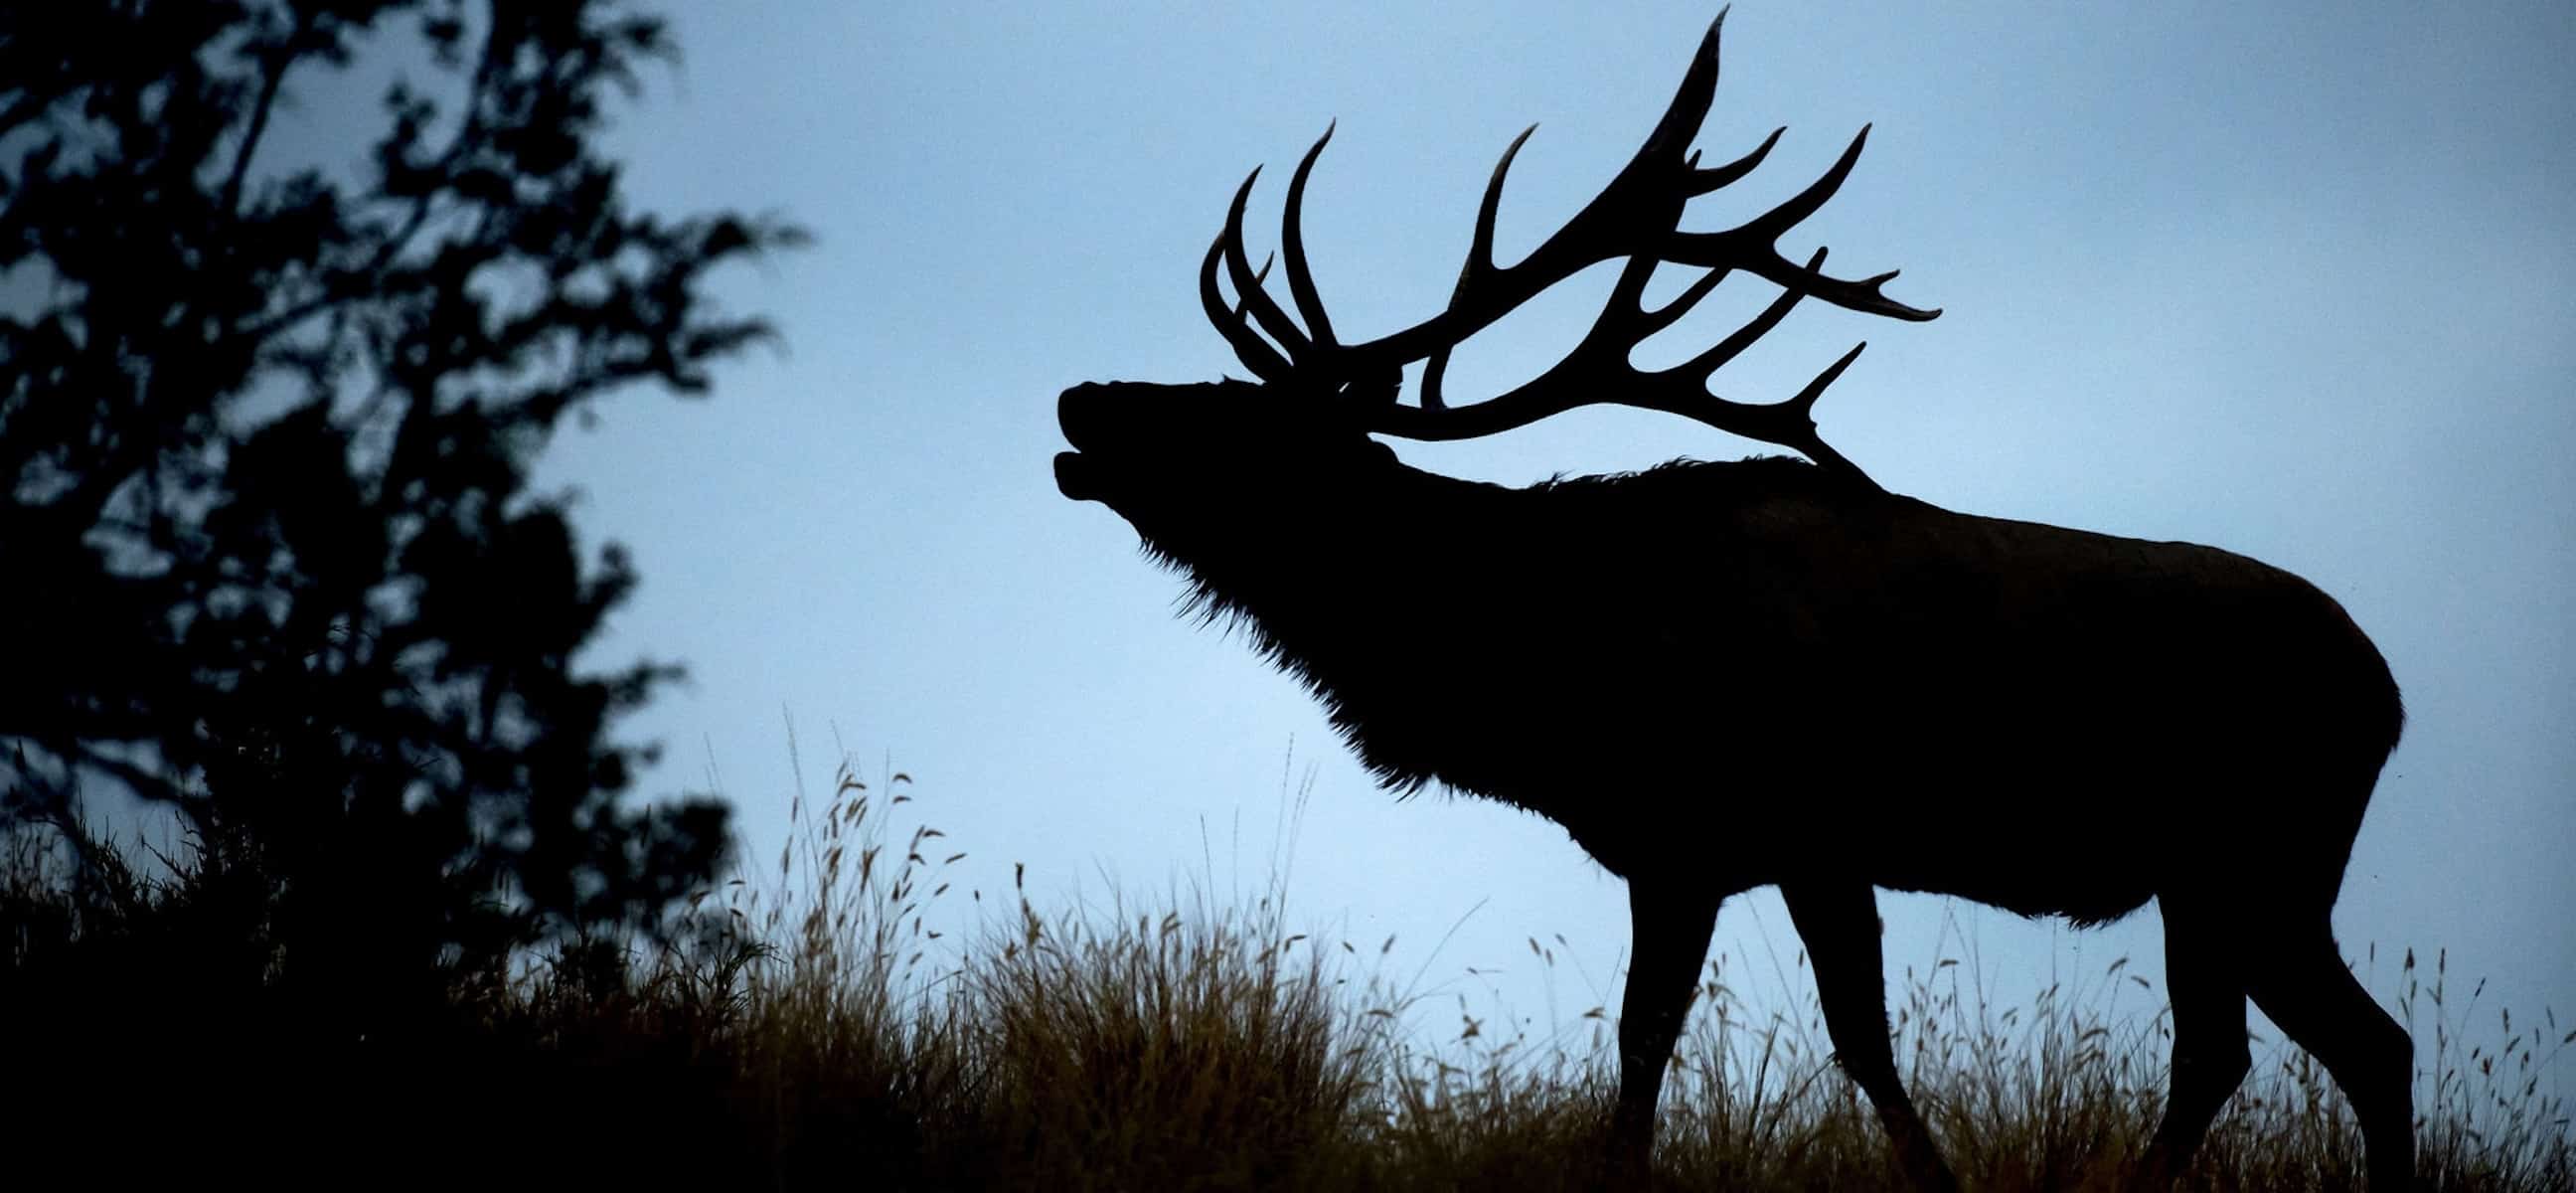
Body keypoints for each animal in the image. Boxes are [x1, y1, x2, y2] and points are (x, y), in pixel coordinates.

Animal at [1052, 13, 2414, 1191]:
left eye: (1236, 420)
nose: (1081, 399)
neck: (1541, 663)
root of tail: (2389, 691)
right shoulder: (1724, 848)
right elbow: (1744, 1038)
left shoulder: (1746, 833)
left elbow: (1731, 1039)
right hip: (2212, 877)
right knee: (2240, 1051)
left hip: (2268, 852)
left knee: (2356, 1044)